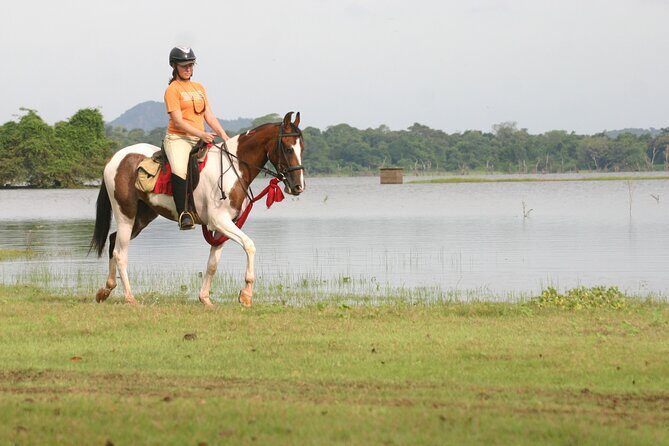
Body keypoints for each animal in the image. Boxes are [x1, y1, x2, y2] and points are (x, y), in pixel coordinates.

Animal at [89, 111, 305, 307]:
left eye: (302, 148)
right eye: (287, 149)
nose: (298, 187)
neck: (234, 166)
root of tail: (115, 158)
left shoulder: (223, 227)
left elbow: (212, 264)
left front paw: (205, 299)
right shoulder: (220, 221)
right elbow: (249, 245)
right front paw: (246, 294)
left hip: (143, 216)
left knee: (113, 240)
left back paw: (106, 290)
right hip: (125, 213)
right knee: (120, 252)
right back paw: (129, 298)